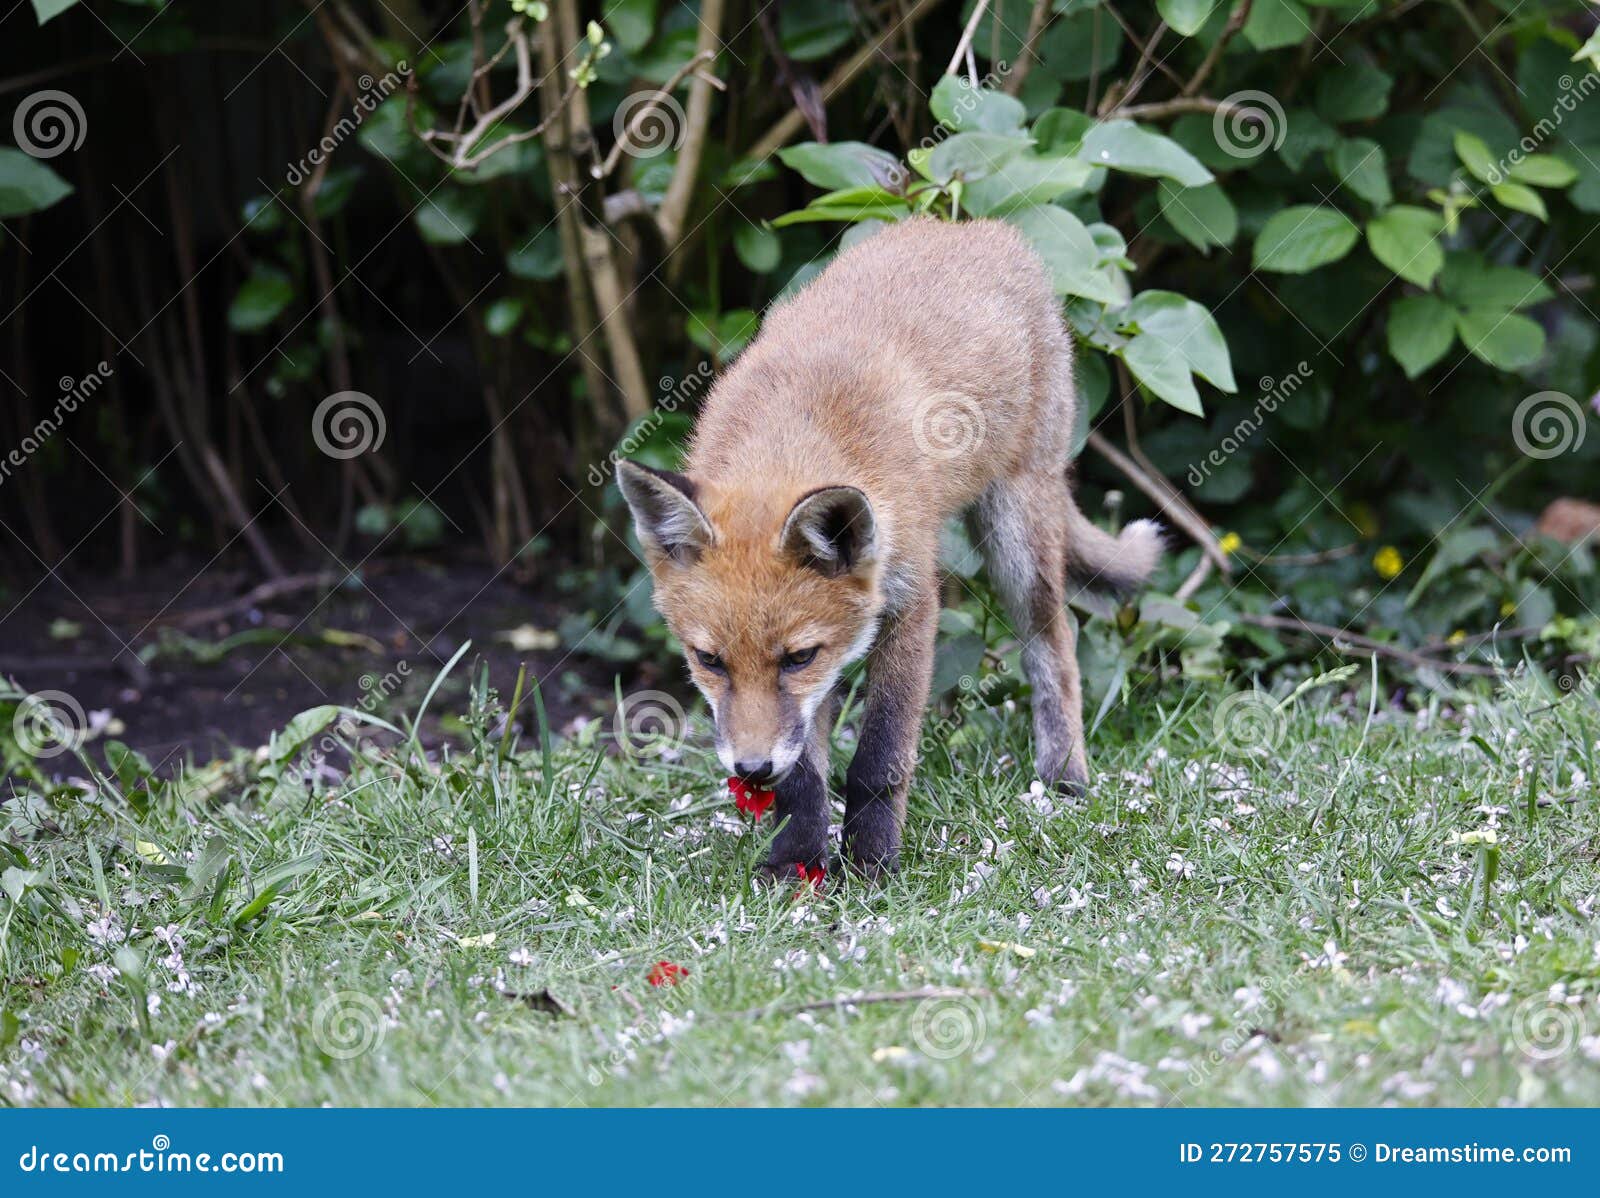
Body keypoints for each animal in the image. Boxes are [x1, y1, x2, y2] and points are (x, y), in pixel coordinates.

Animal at [617, 218, 1162, 882]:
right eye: (709, 661)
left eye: (796, 657)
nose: (751, 770)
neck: (793, 432)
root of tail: (977, 227)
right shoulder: (819, 681)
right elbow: (805, 776)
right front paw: (797, 863)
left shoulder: (909, 603)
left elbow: (880, 759)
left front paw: (874, 864)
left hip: (1014, 532)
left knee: (1055, 647)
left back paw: (1063, 776)